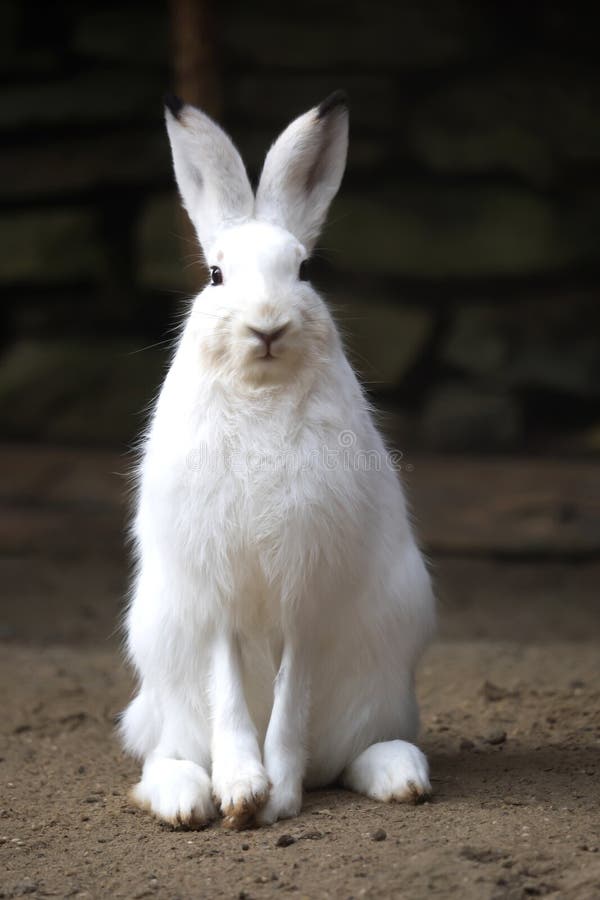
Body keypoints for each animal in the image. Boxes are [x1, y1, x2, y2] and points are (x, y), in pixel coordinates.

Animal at [120, 90, 436, 830]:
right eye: (215, 274)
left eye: (303, 270)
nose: (267, 325)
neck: (260, 392)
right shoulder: (216, 601)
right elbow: (232, 700)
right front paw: (241, 794)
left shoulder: (308, 601)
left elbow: (289, 706)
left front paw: (278, 800)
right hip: (163, 680)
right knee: (162, 760)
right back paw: (187, 802)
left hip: (380, 688)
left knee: (349, 758)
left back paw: (401, 777)